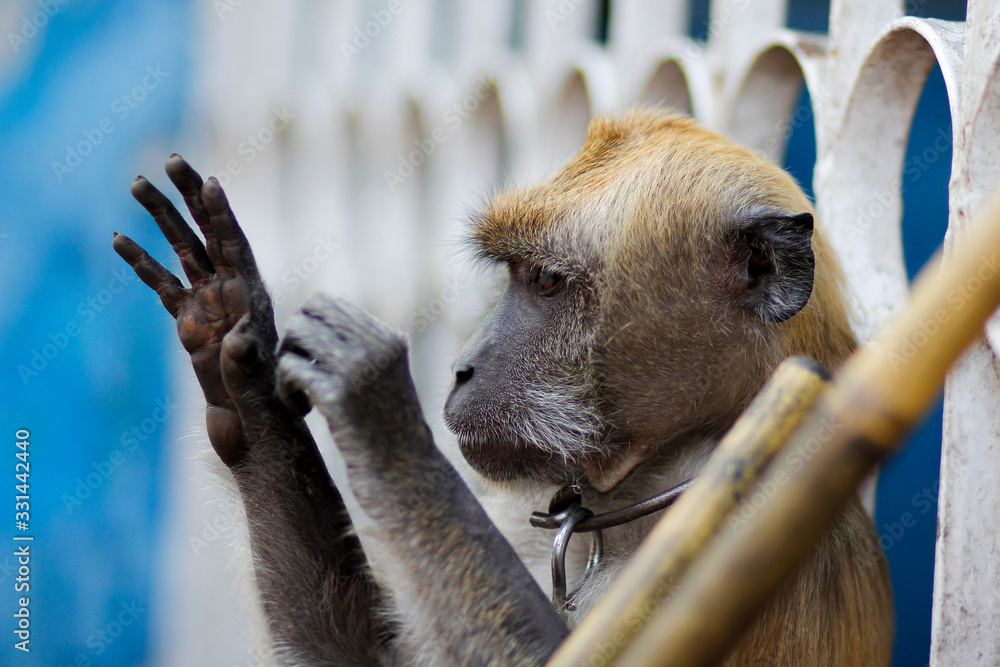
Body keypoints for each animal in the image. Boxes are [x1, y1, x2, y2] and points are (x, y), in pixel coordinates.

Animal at [113, 108, 893, 666]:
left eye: (545, 282)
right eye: (514, 277)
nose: (464, 365)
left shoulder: (761, 515)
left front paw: (378, 410)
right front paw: (235, 350)